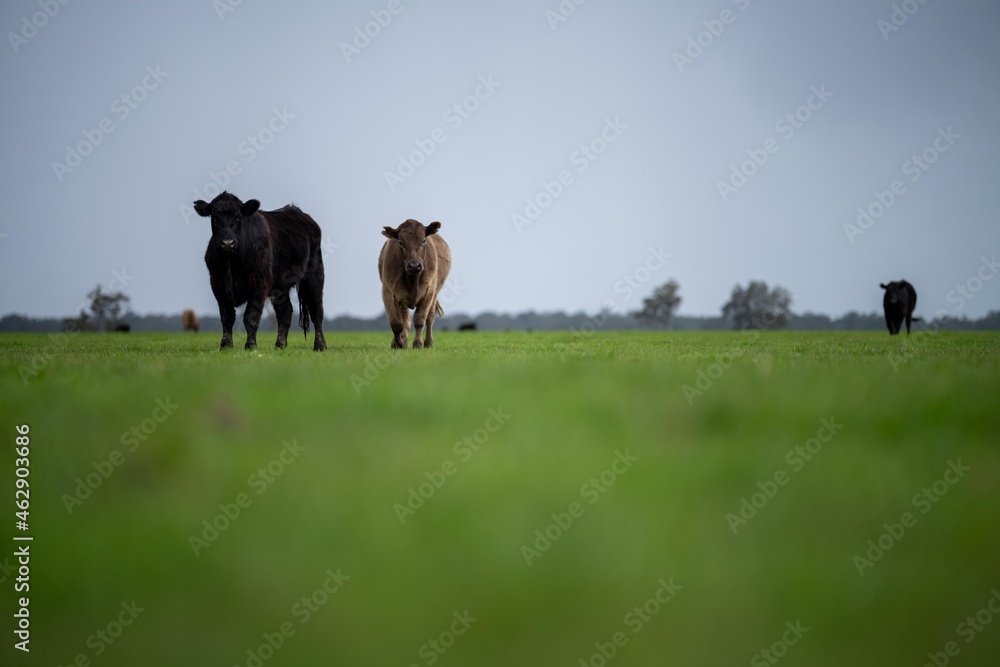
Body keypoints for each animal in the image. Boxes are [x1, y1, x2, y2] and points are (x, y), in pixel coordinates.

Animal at [194, 192, 327, 351]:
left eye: (238, 217)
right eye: (214, 218)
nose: (227, 243)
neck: (231, 263)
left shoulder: (259, 285)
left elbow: (251, 317)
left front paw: (251, 345)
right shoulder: (217, 285)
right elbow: (227, 317)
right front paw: (226, 346)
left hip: (315, 275)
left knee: (316, 310)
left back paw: (320, 345)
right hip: (280, 287)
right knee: (285, 312)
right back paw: (280, 345)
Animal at [378, 219, 452, 349]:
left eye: (423, 240)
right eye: (400, 242)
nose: (414, 266)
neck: (412, 280)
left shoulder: (429, 292)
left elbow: (419, 319)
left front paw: (418, 344)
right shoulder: (388, 292)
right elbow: (396, 322)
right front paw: (398, 343)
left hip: (435, 294)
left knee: (430, 318)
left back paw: (429, 343)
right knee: (405, 320)